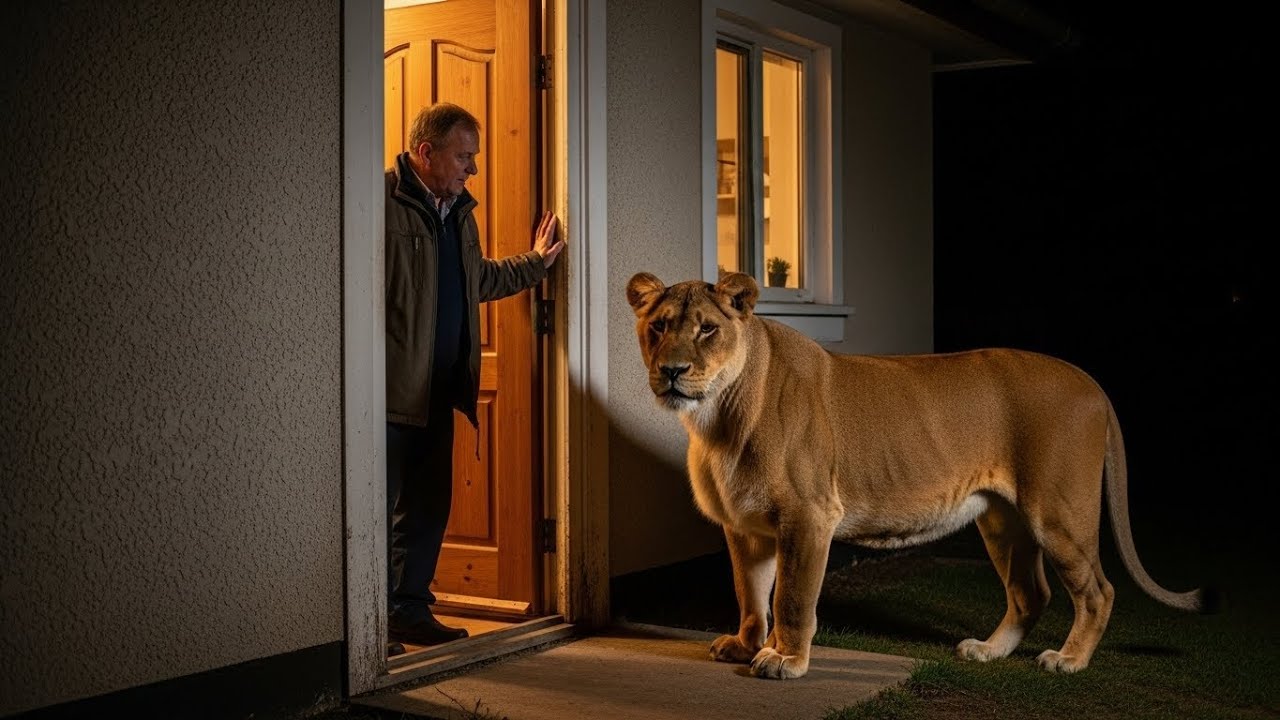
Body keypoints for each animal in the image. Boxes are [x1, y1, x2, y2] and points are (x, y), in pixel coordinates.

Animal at [625, 271, 1211, 680]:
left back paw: (1068, 660)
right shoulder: (746, 527)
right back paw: (987, 651)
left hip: (1059, 514)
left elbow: (790, 597)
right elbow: (750, 594)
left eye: (707, 329)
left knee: (1099, 591)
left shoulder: (808, 516)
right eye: (658, 326)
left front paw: (784, 660)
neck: (716, 418)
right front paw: (746, 645)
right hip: (1003, 521)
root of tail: (1092, 382)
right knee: (1031, 593)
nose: (672, 371)